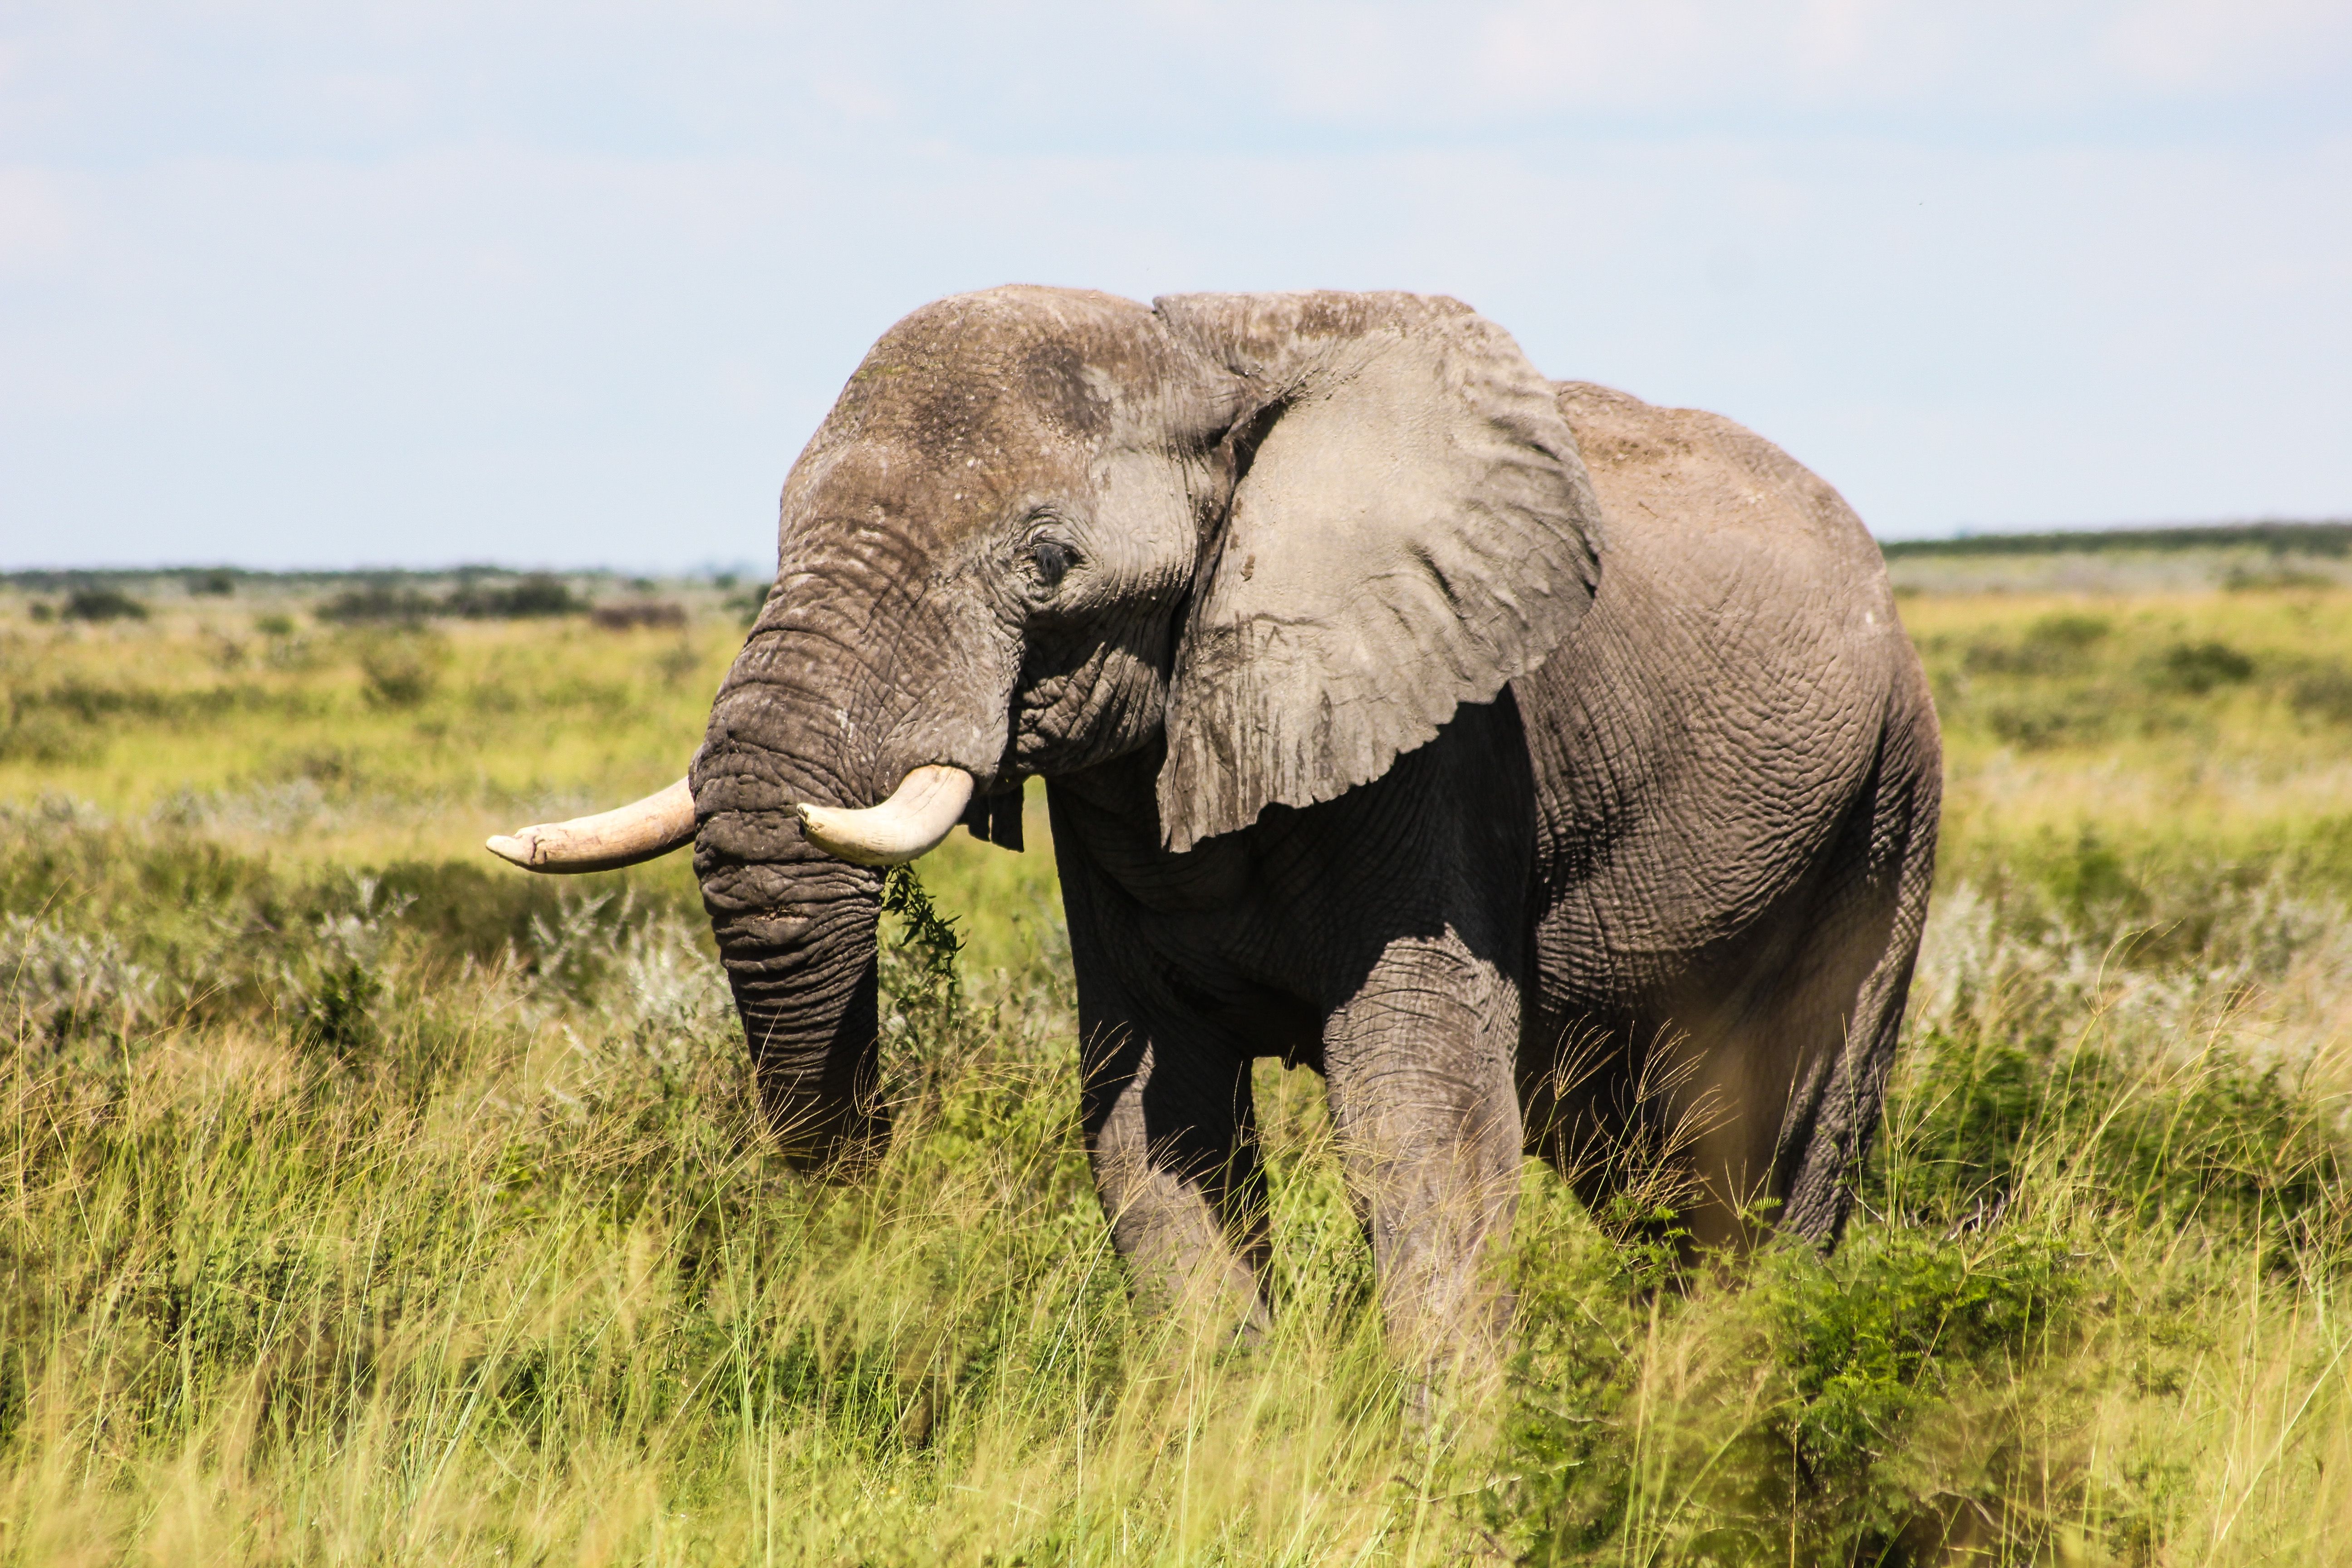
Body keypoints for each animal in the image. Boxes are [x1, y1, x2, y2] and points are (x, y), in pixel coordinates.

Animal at [487, 287, 1941, 1367]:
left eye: (1046, 563)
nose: (862, 1185)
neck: (1201, 350)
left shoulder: (1445, 743)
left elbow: (1417, 1113)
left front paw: (1454, 1476)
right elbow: (1151, 1120)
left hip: (1891, 806)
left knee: (1787, 1147)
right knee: (1645, 1167)